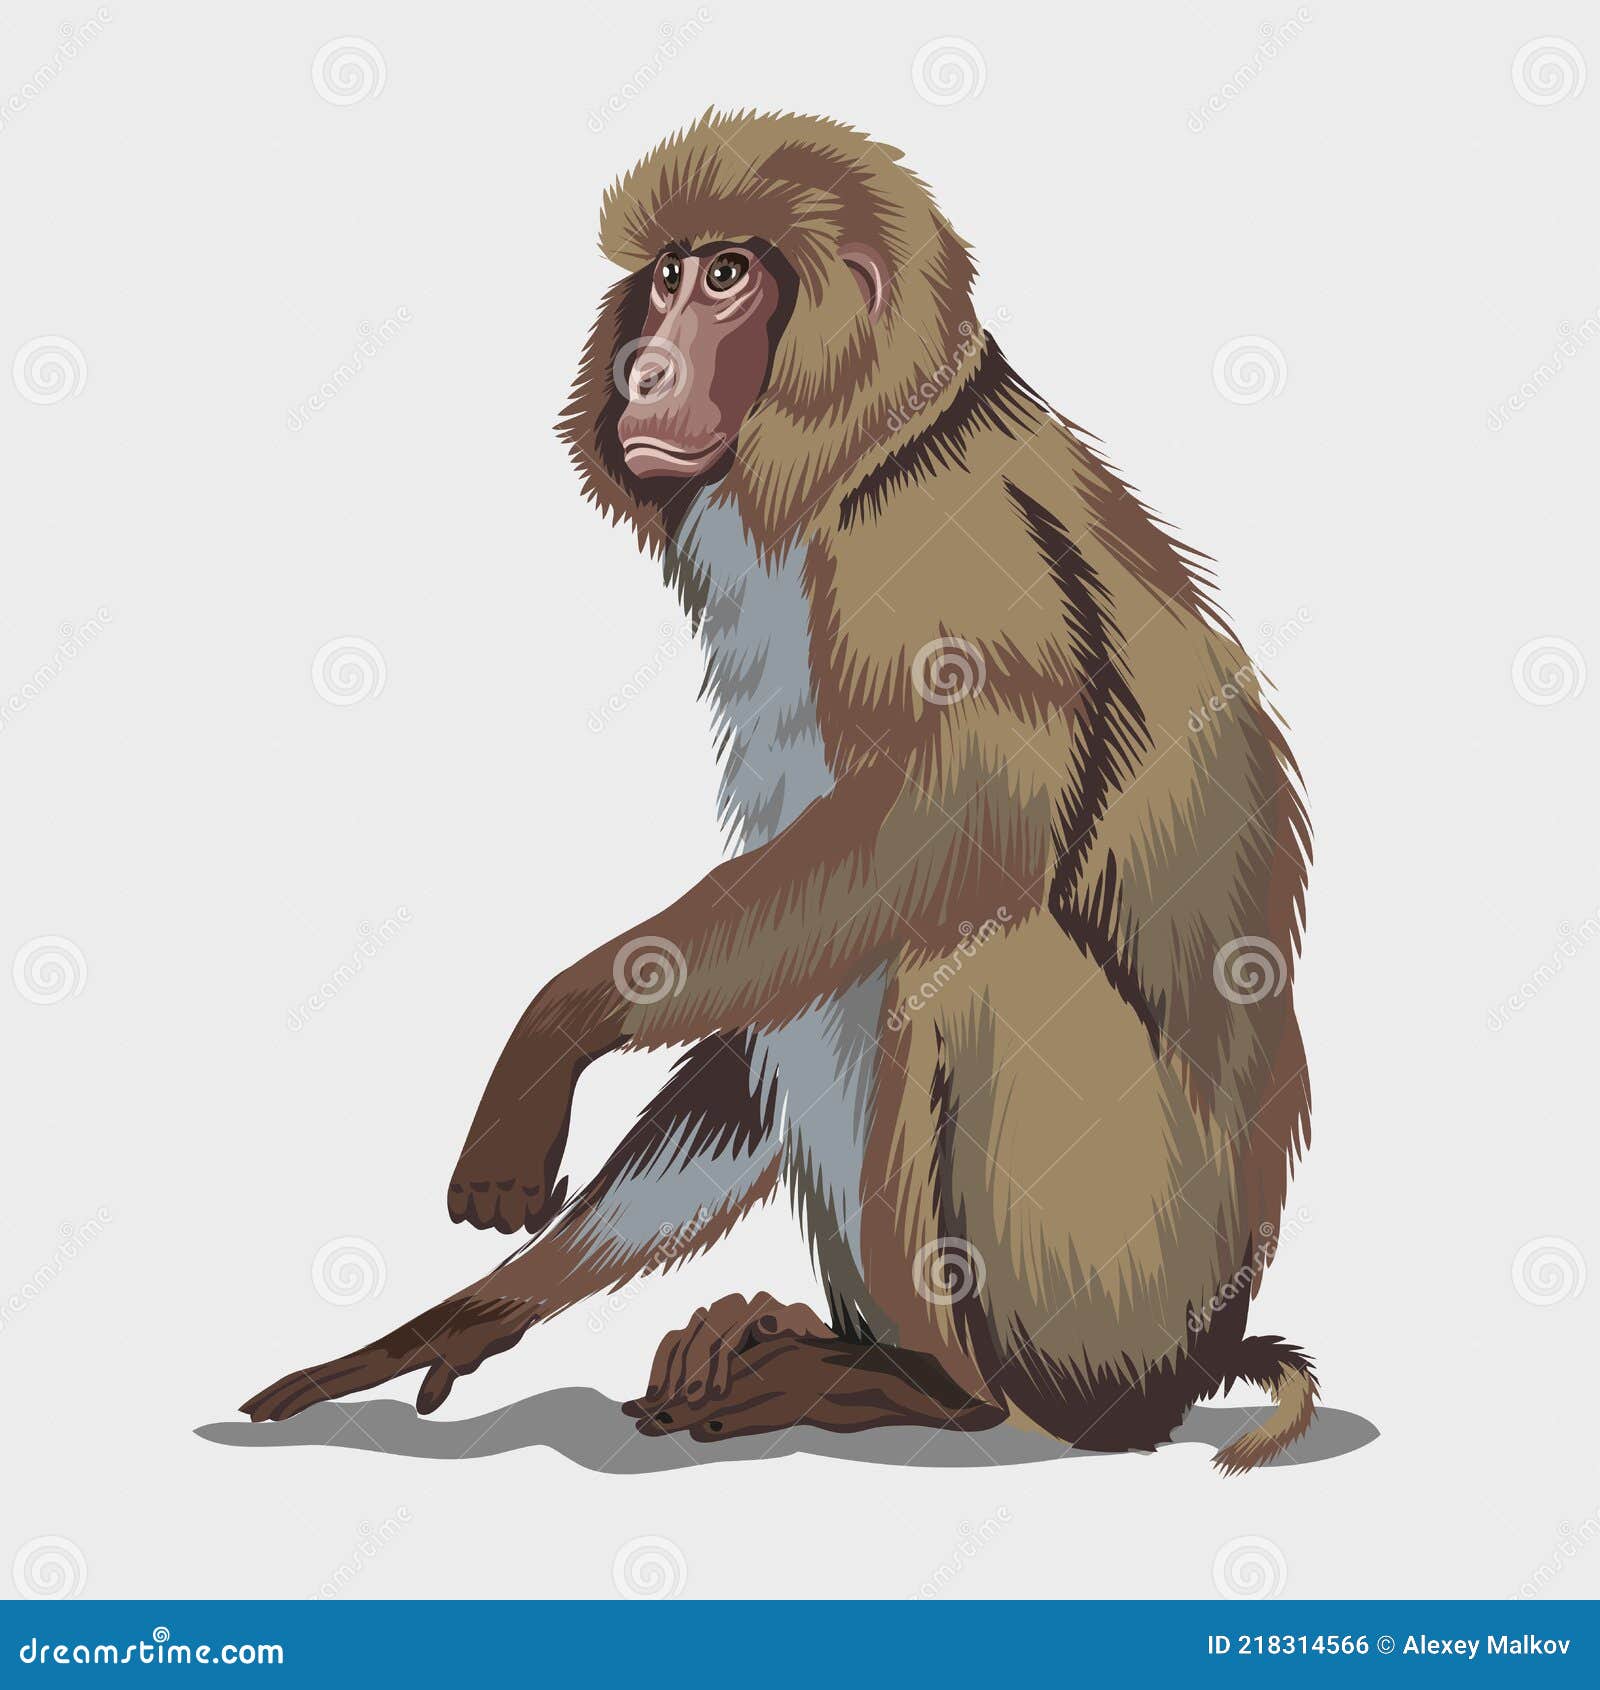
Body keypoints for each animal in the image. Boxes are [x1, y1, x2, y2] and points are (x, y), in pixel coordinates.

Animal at [243, 110, 1317, 1473]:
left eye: (723, 278)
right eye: (663, 277)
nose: (646, 368)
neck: (859, 448)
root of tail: (1208, 1339)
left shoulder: (927, 547)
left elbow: (959, 827)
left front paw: (558, 1026)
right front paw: (474, 1312)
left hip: (1115, 1287)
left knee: (963, 950)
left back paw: (930, 1389)